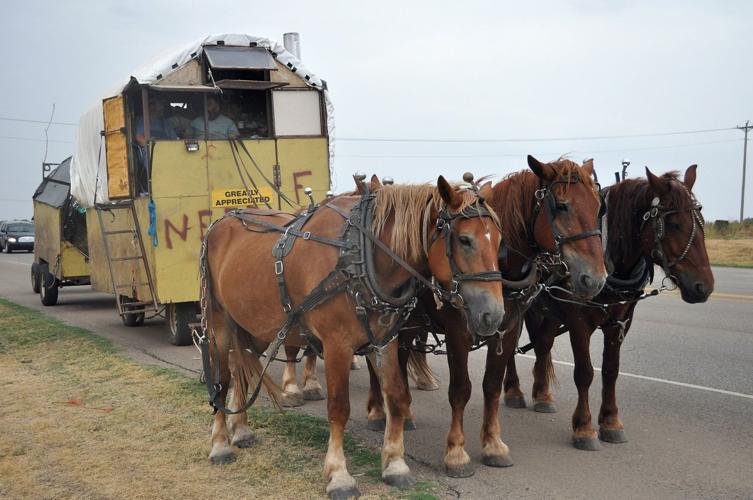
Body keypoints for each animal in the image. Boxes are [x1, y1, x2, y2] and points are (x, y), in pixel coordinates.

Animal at [199, 176, 505, 498]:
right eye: (465, 240)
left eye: (499, 240)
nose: (494, 315)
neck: (360, 256)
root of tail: (223, 220)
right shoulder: (337, 345)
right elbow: (339, 408)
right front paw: (339, 475)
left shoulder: (385, 340)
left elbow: (396, 397)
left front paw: (395, 464)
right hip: (218, 322)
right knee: (222, 379)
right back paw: (220, 444)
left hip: (255, 325)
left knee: (240, 369)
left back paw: (241, 428)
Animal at [366, 156, 608, 476]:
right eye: (563, 205)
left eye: (598, 207)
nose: (596, 279)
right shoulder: (457, 333)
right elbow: (460, 390)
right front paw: (456, 453)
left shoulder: (507, 329)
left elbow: (492, 385)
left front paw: (493, 445)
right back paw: (377, 412)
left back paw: (404, 413)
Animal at [503, 165, 713, 451]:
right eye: (674, 224)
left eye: (701, 222)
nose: (704, 286)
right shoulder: (578, 323)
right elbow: (584, 372)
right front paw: (584, 427)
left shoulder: (620, 323)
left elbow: (610, 371)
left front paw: (611, 422)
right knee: (513, 344)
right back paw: (514, 390)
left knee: (542, 344)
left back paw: (543, 395)